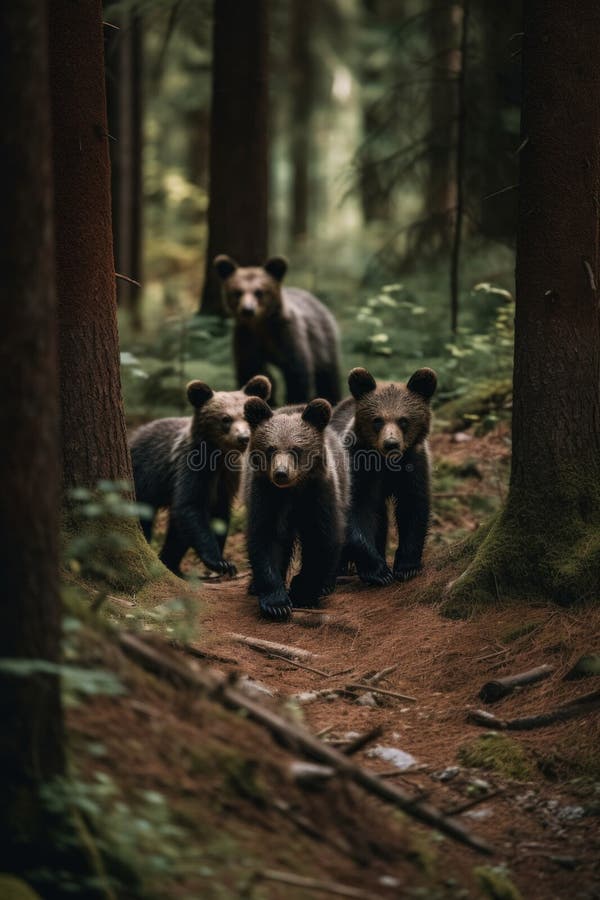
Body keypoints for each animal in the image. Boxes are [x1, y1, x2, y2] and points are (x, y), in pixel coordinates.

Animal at [130, 375, 271, 577]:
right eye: (226, 419)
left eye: (247, 415)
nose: (244, 437)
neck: (219, 456)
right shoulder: (193, 466)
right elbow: (191, 505)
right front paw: (220, 562)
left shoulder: (227, 478)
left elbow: (220, 513)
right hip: (141, 480)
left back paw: (172, 565)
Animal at [213, 254, 341, 405]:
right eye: (237, 292)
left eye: (259, 292)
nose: (248, 310)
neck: (261, 325)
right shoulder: (247, 337)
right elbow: (250, 368)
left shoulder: (287, 334)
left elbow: (297, 372)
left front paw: (295, 400)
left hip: (322, 339)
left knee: (327, 375)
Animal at [243, 397, 349, 619]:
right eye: (271, 448)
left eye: (296, 449)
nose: (281, 473)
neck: (292, 490)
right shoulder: (265, 495)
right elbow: (265, 537)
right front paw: (277, 603)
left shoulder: (318, 493)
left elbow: (321, 538)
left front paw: (303, 593)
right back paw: (254, 585)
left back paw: (327, 584)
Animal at [330, 366, 437, 585]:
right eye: (377, 420)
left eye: (403, 420)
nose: (391, 444)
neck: (386, 464)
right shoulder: (359, 465)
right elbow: (356, 508)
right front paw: (377, 571)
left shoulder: (413, 465)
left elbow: (413, 506)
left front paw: (406, 567)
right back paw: (341, 568)